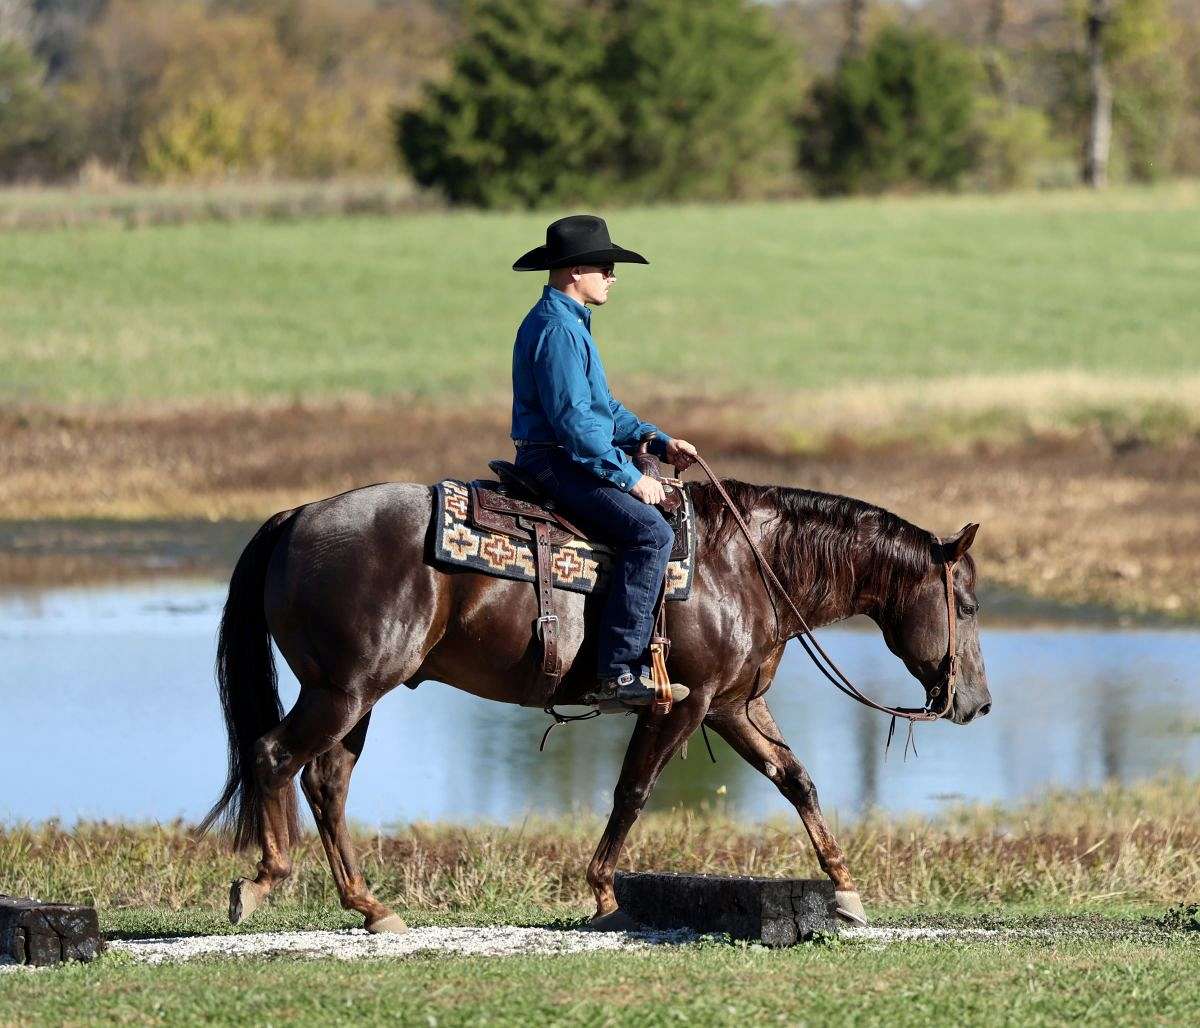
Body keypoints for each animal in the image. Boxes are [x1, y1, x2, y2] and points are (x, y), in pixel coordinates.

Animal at [199, 476, 990, 932]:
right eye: (970, 604)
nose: (976, 703)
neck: (745, 566)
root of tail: (298, 516)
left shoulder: (733, 706)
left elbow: (796, 780)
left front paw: (846, 887)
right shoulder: (681, 705)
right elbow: (632, 792)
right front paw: (605, 893)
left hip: (354, 697)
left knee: (326, 781)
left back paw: (370, 908)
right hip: (345, 690)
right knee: (274, 756)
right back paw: (262, 883)